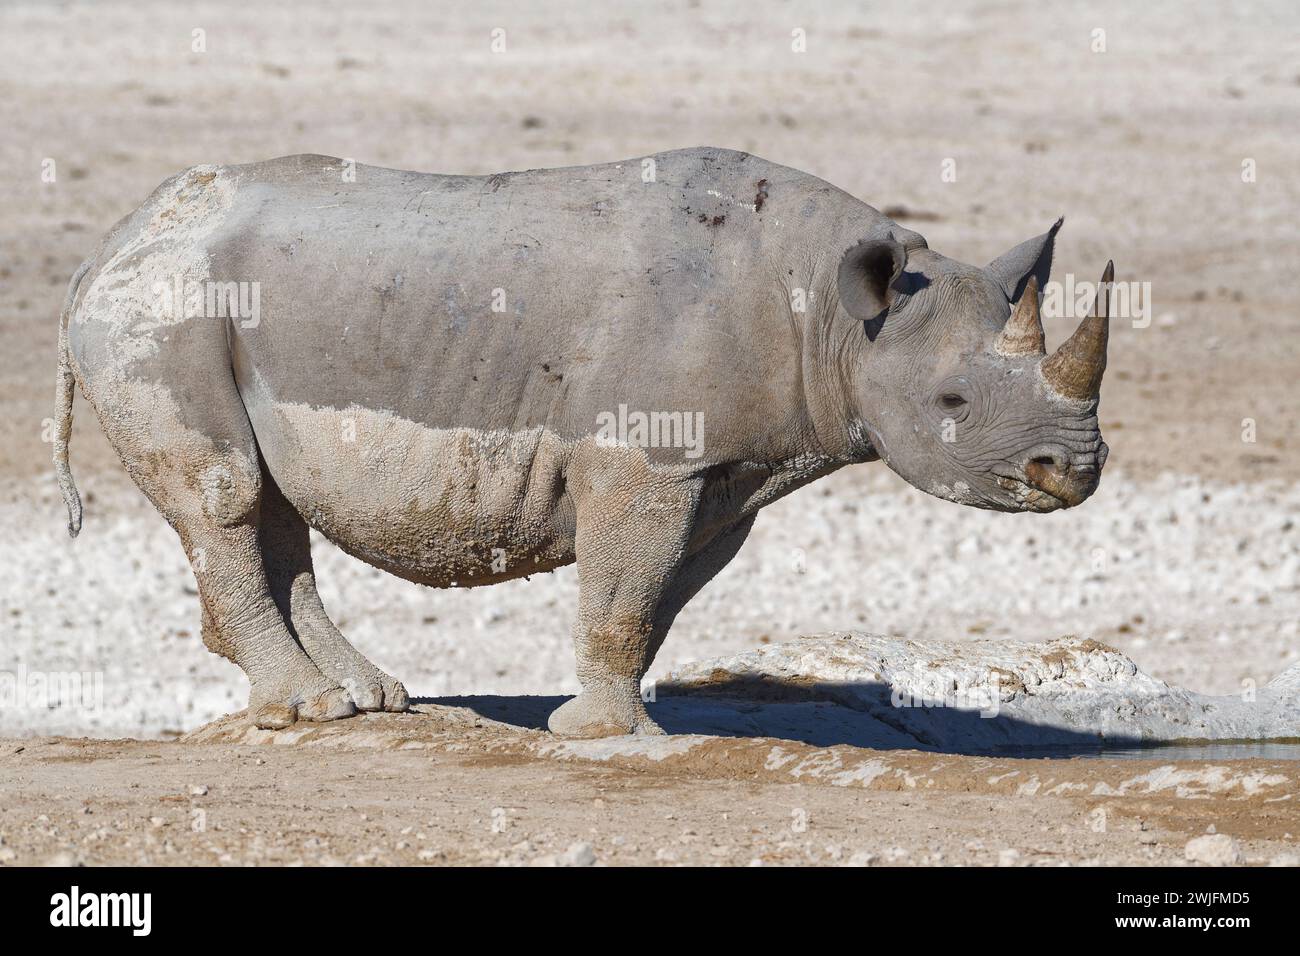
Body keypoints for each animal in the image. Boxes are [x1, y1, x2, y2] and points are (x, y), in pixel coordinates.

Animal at [53, 147, 1113, 735]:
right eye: (952, 399)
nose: (1073, 471)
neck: (839, 316)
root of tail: (110, 243)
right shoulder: (648, 458)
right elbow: (623, 589)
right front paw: (607, 738)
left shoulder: (722, 474)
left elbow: (650, 600)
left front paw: (615, 717)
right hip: (166, 308)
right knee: (230, 491)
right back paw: (307, 710)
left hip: (209, 304)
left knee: (272, 499)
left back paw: (365, 701)